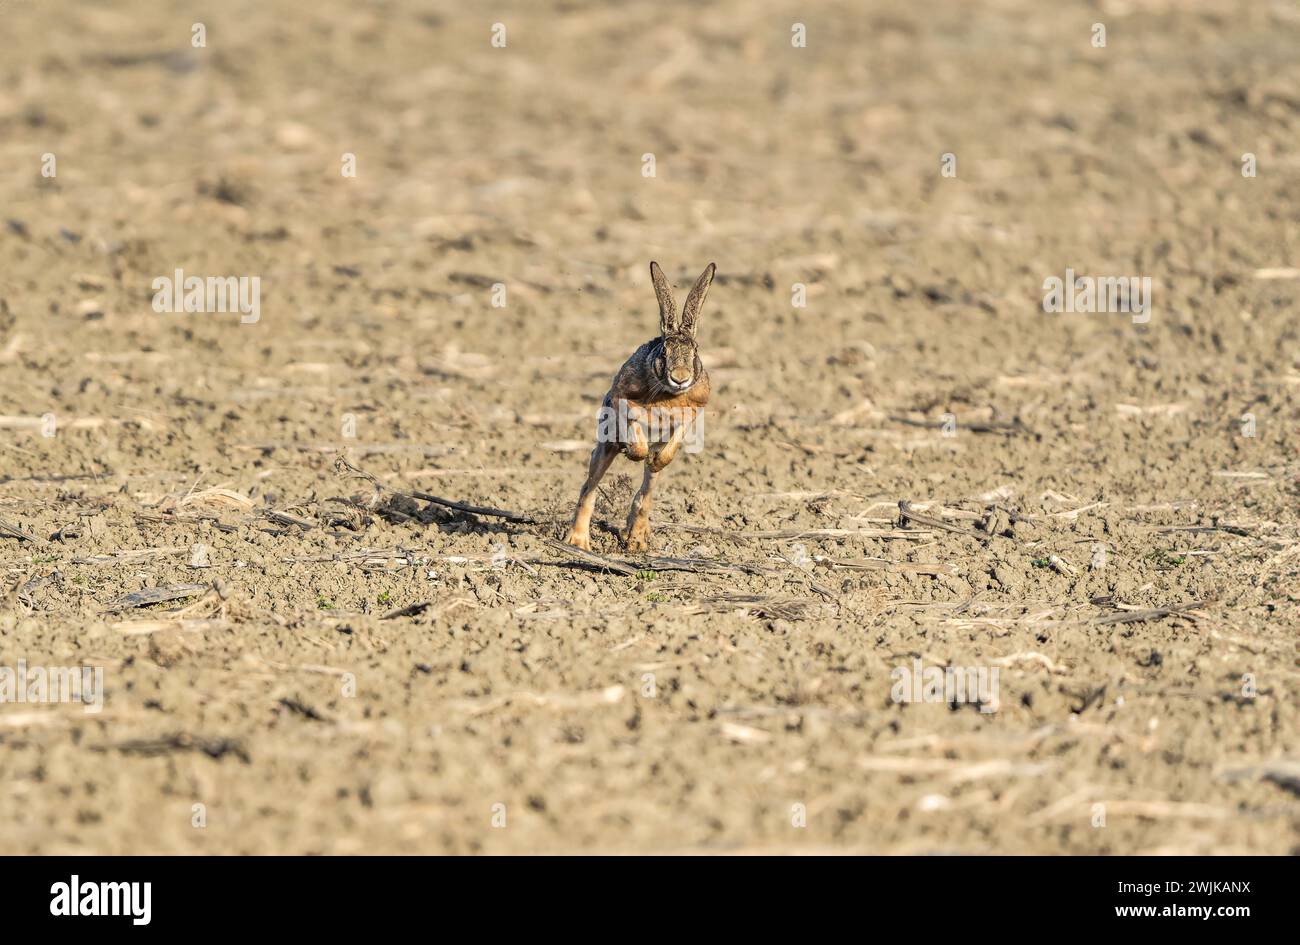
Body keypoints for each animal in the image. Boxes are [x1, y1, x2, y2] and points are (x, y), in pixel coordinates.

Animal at [565, 261, 715, 552]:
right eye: (664, 352)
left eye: (695, 352)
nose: (680, 378)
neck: (669, 394)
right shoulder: (623, 399)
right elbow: (634, 430)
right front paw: (634, 450)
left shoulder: (691, 413)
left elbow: (668, 450)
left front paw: (655, 458)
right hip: (603, 448)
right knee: (589, 487)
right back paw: (579, 541)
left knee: (645, 491)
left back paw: (636, 537)